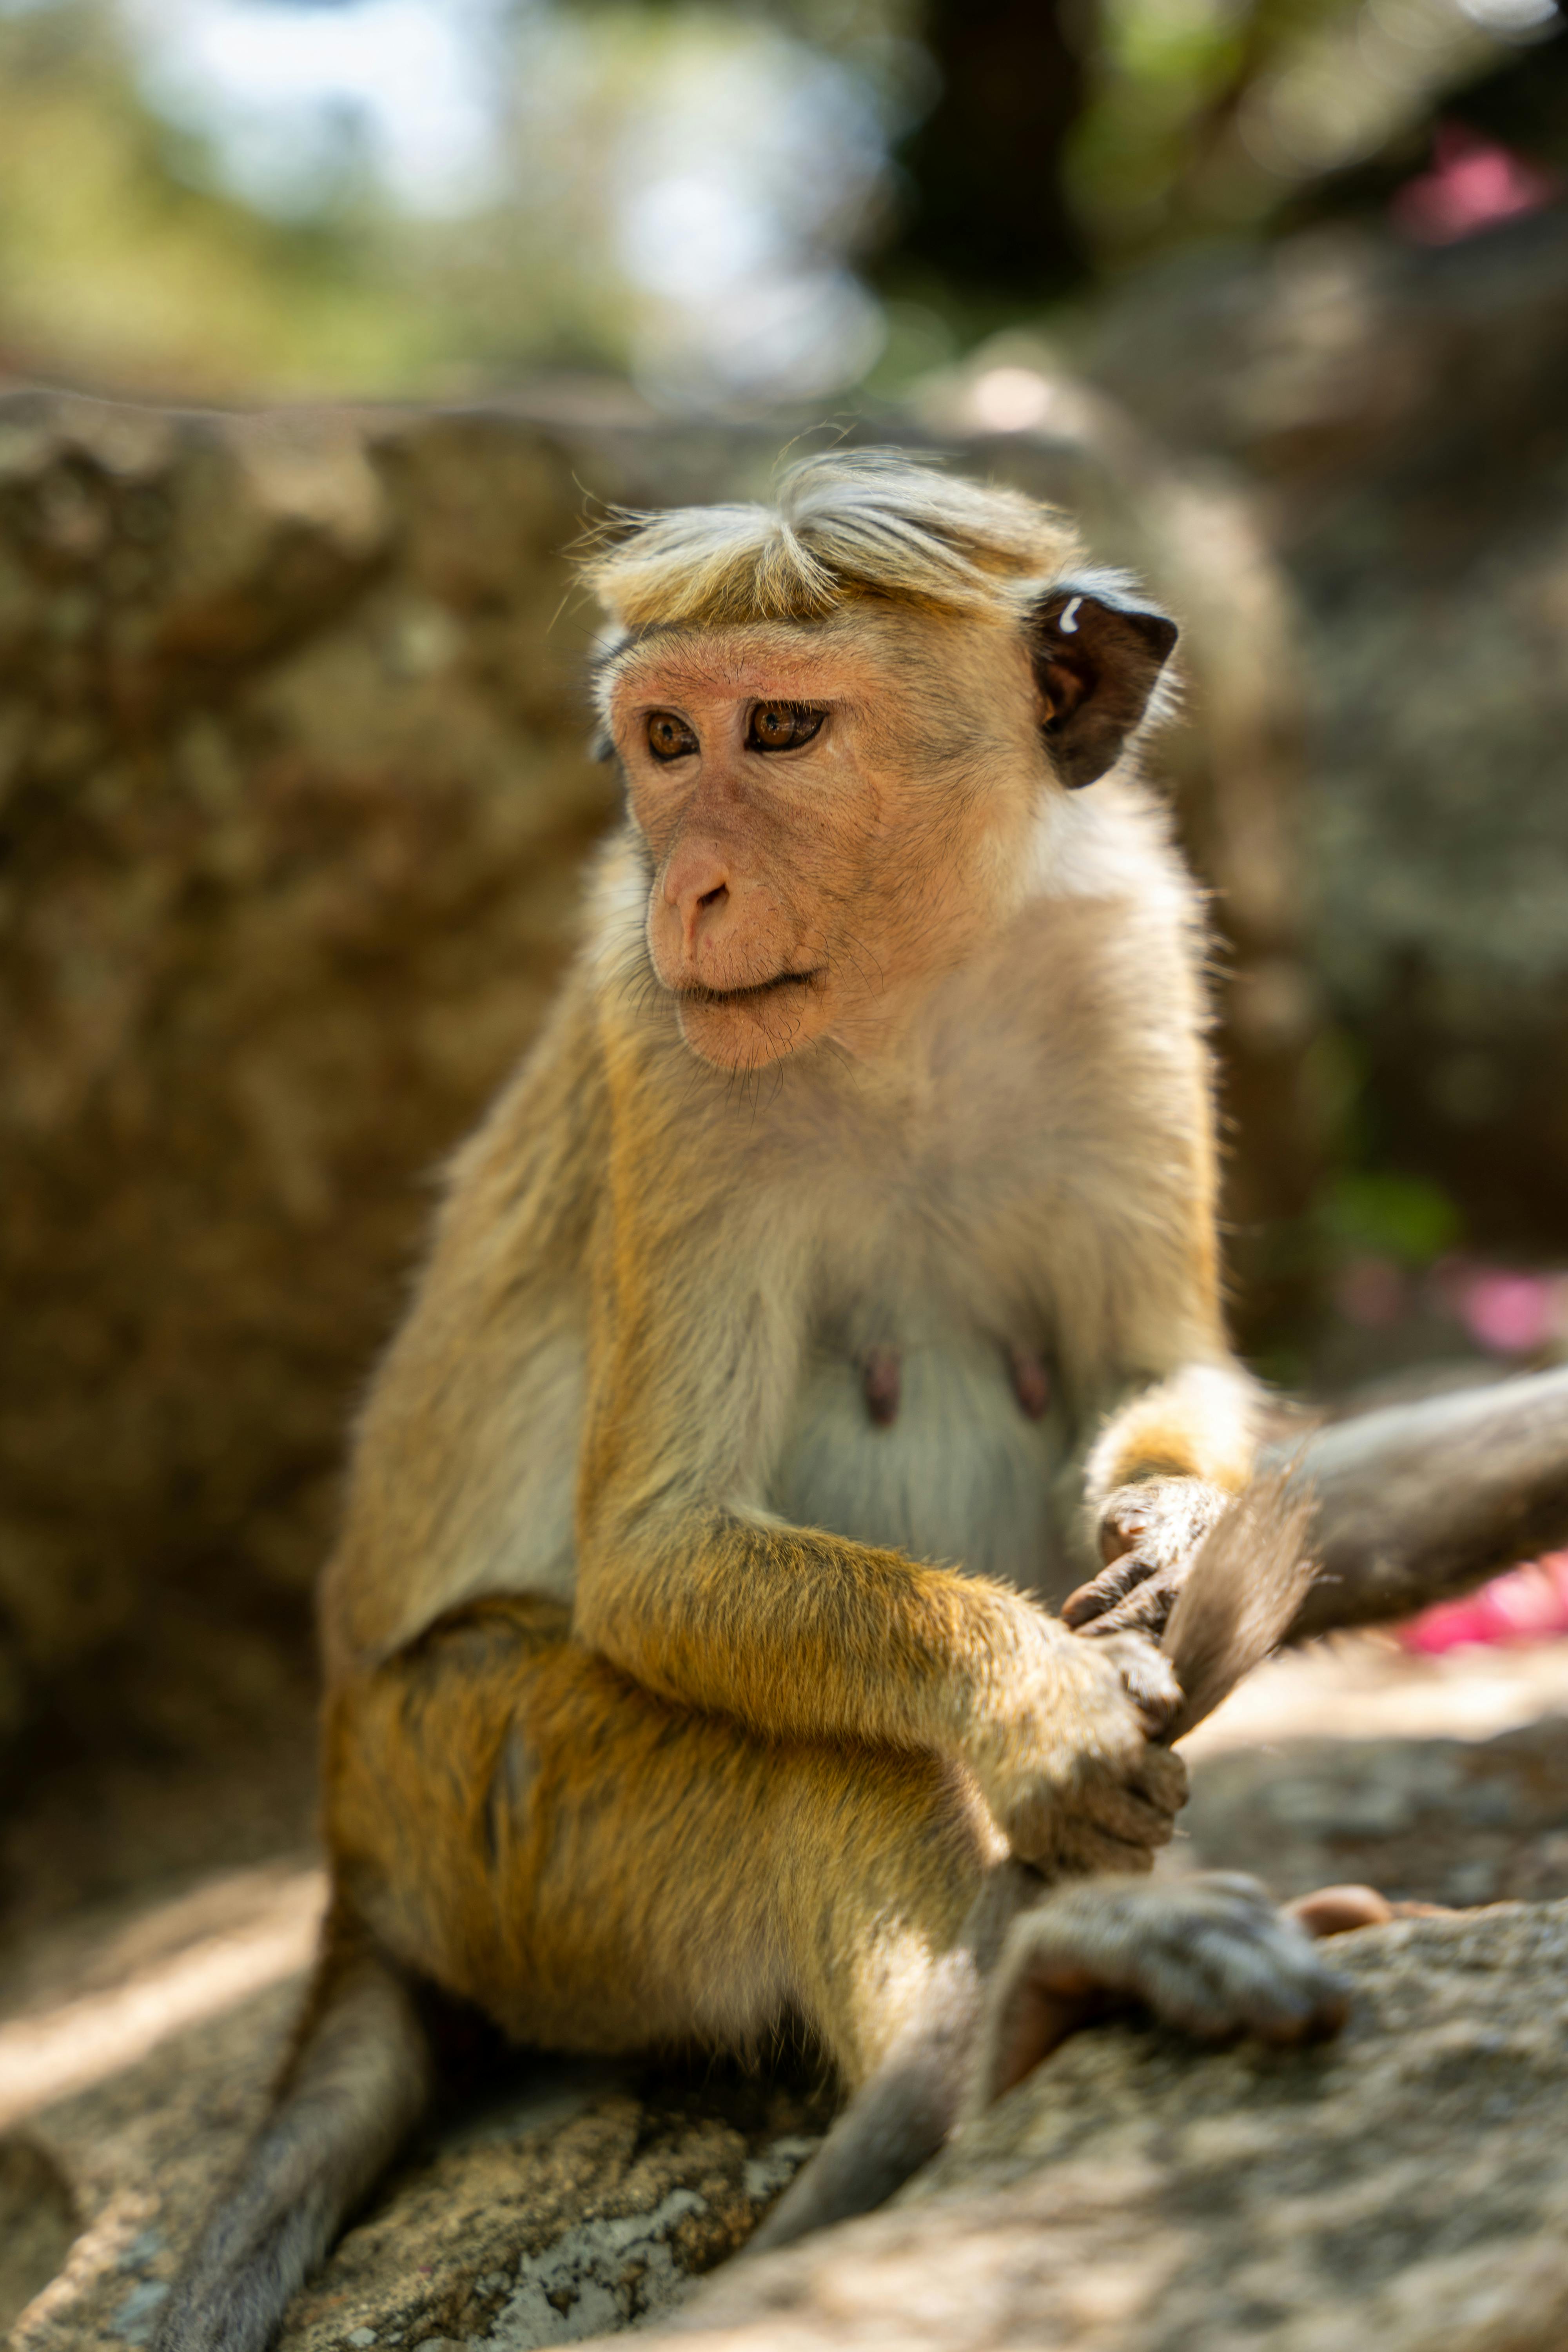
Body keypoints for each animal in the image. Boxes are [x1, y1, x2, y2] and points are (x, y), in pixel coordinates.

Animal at [154, 450, 1356, 2352]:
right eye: (665, 741)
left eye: (778, 729)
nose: (691, 891)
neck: (912, 999)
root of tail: (353, 1856)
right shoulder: (665, 1051)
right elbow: (658, 1562)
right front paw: (1041, 1701)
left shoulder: (1126, 958)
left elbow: (1160, 1363)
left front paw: (1166, 1535)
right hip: (491, 1796)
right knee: (825, 1775)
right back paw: (1026, 2012)